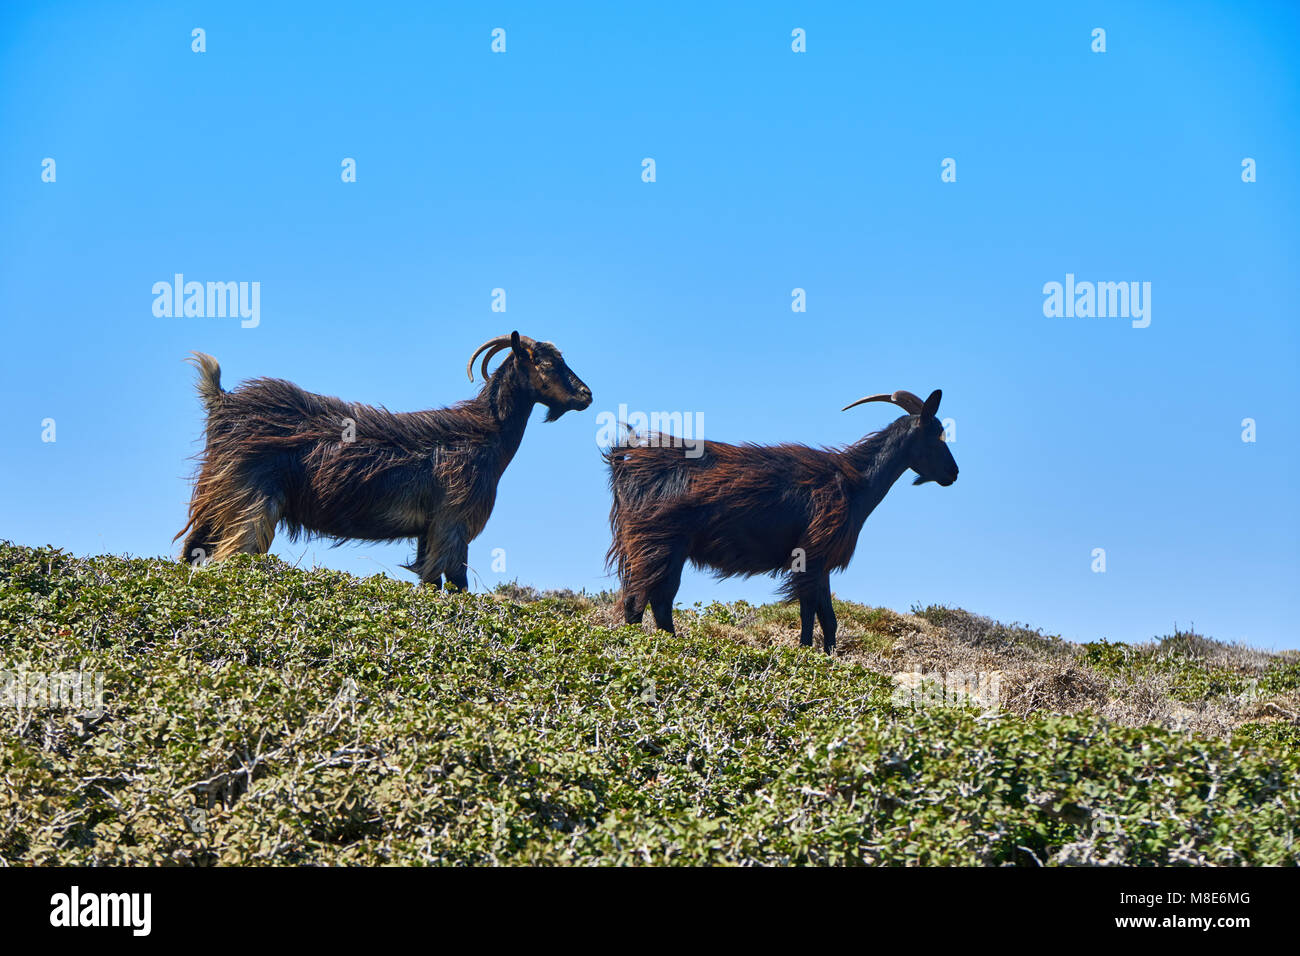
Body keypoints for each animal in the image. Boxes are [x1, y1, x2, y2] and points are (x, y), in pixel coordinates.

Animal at [176, 331, 592, 588]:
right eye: (548, 364)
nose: (587, 395)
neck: (482, 434)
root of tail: (222, 400)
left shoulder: (430, 530)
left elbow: (431, 580)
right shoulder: (453, 523)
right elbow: (454, 583)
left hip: (218, 498)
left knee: (193, 550)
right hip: (250, 499)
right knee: (233, 554)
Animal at [604, 389, 957, 653]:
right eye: (936, 435)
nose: (953, 473)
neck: (855, 481)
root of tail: (625, 460)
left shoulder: (821, 561)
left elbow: (829, 618)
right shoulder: (812, 553)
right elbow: (808, 611)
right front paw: (805, 653)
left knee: (646, 600)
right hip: (661, 542)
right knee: (651, 600)